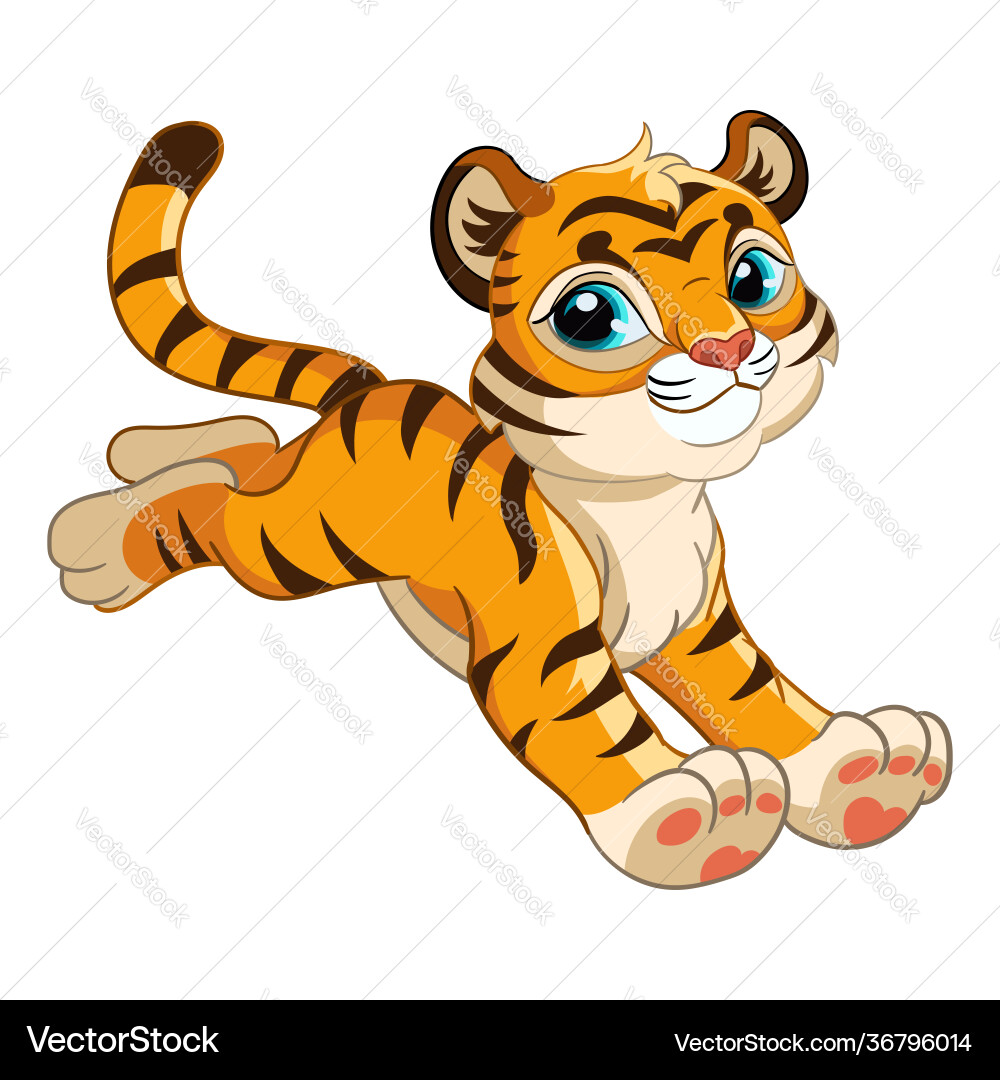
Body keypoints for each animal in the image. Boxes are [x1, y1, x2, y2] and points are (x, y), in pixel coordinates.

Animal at [49, 113, 951, 889]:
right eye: (591, 315)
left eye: (753, 278)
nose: (727, 348)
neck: (649, 499)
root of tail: (366, 393)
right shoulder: (542, 648)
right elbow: (598, 726)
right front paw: (688, 814)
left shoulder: (697, 625)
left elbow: (756, 691)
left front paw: (858, 773)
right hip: (290, 546)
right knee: (216, 509)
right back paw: (92, 540)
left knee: (249, 448)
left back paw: (135, 452)